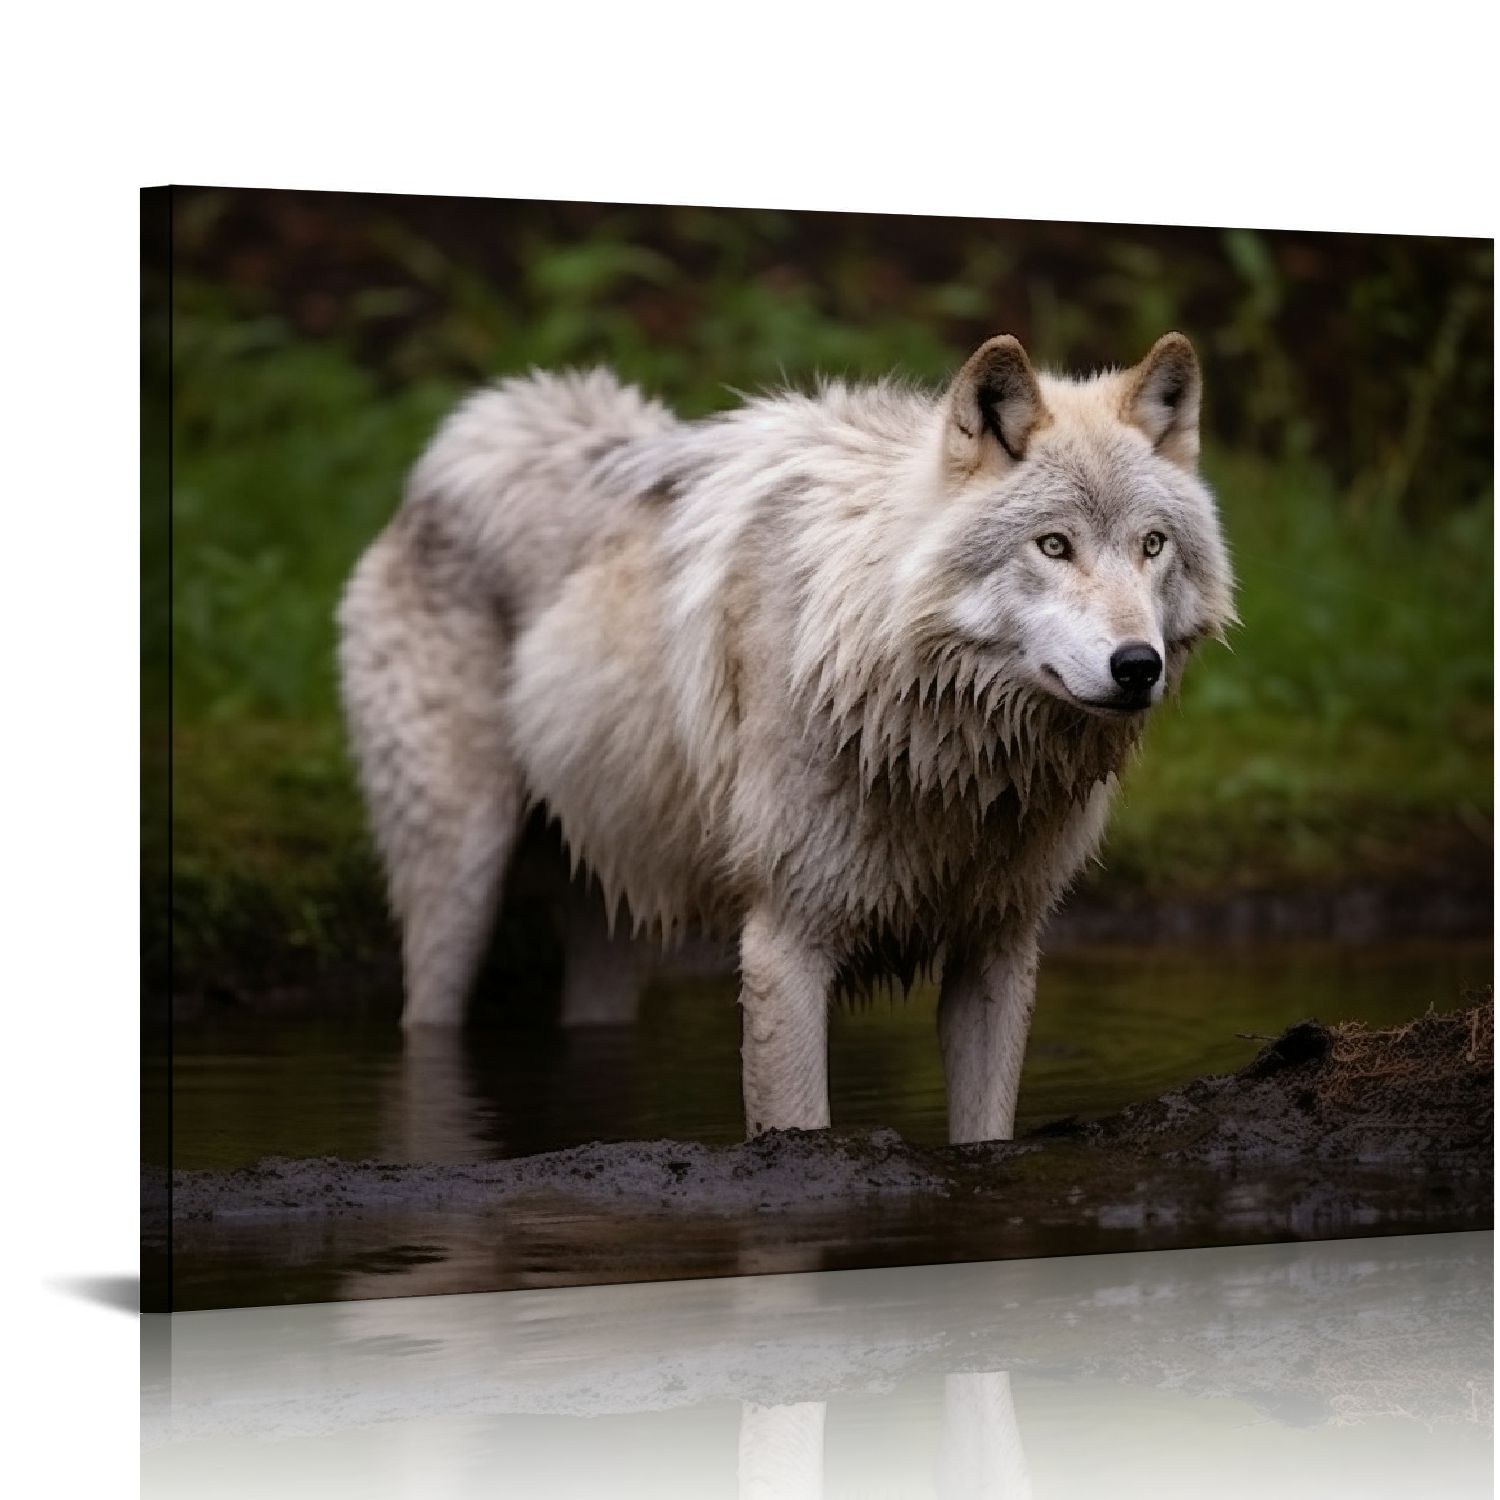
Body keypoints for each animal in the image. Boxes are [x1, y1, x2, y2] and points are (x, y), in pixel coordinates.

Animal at [337, 331, 1234, 1143]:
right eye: (1053, 545)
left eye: (1152, 545)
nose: (1137, 666)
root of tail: (465, 441)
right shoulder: (783, 945)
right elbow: (796, 1125)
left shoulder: (999, 951)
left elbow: (988, 1134)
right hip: (461, 880)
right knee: (426, 1017)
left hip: (610, 914)